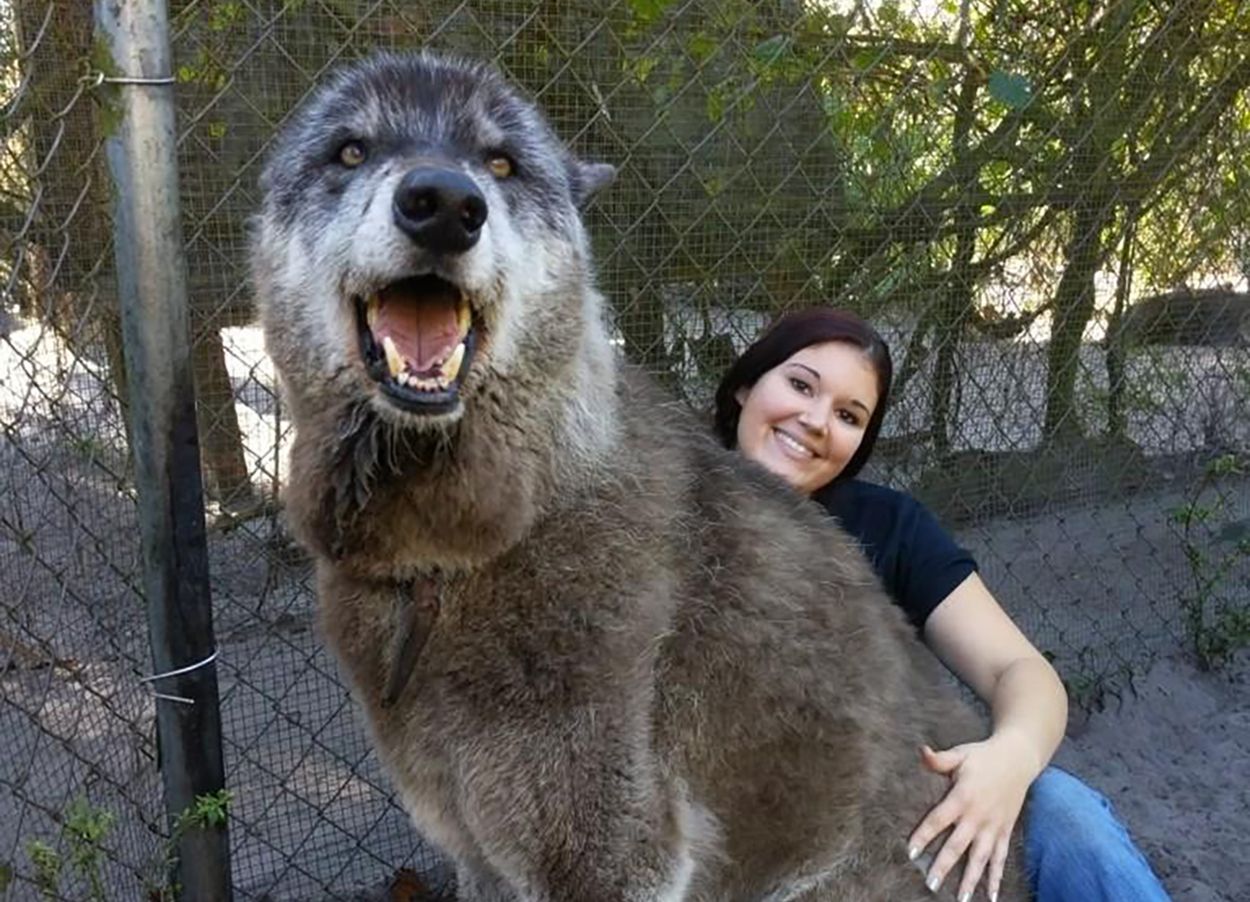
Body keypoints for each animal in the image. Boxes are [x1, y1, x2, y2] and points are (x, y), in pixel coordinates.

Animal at [251, 52, 1026, 901]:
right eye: (350, 151)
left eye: (501, 163)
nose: (445, 204)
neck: (451, 558)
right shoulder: (475, 854)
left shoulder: (612, 858)